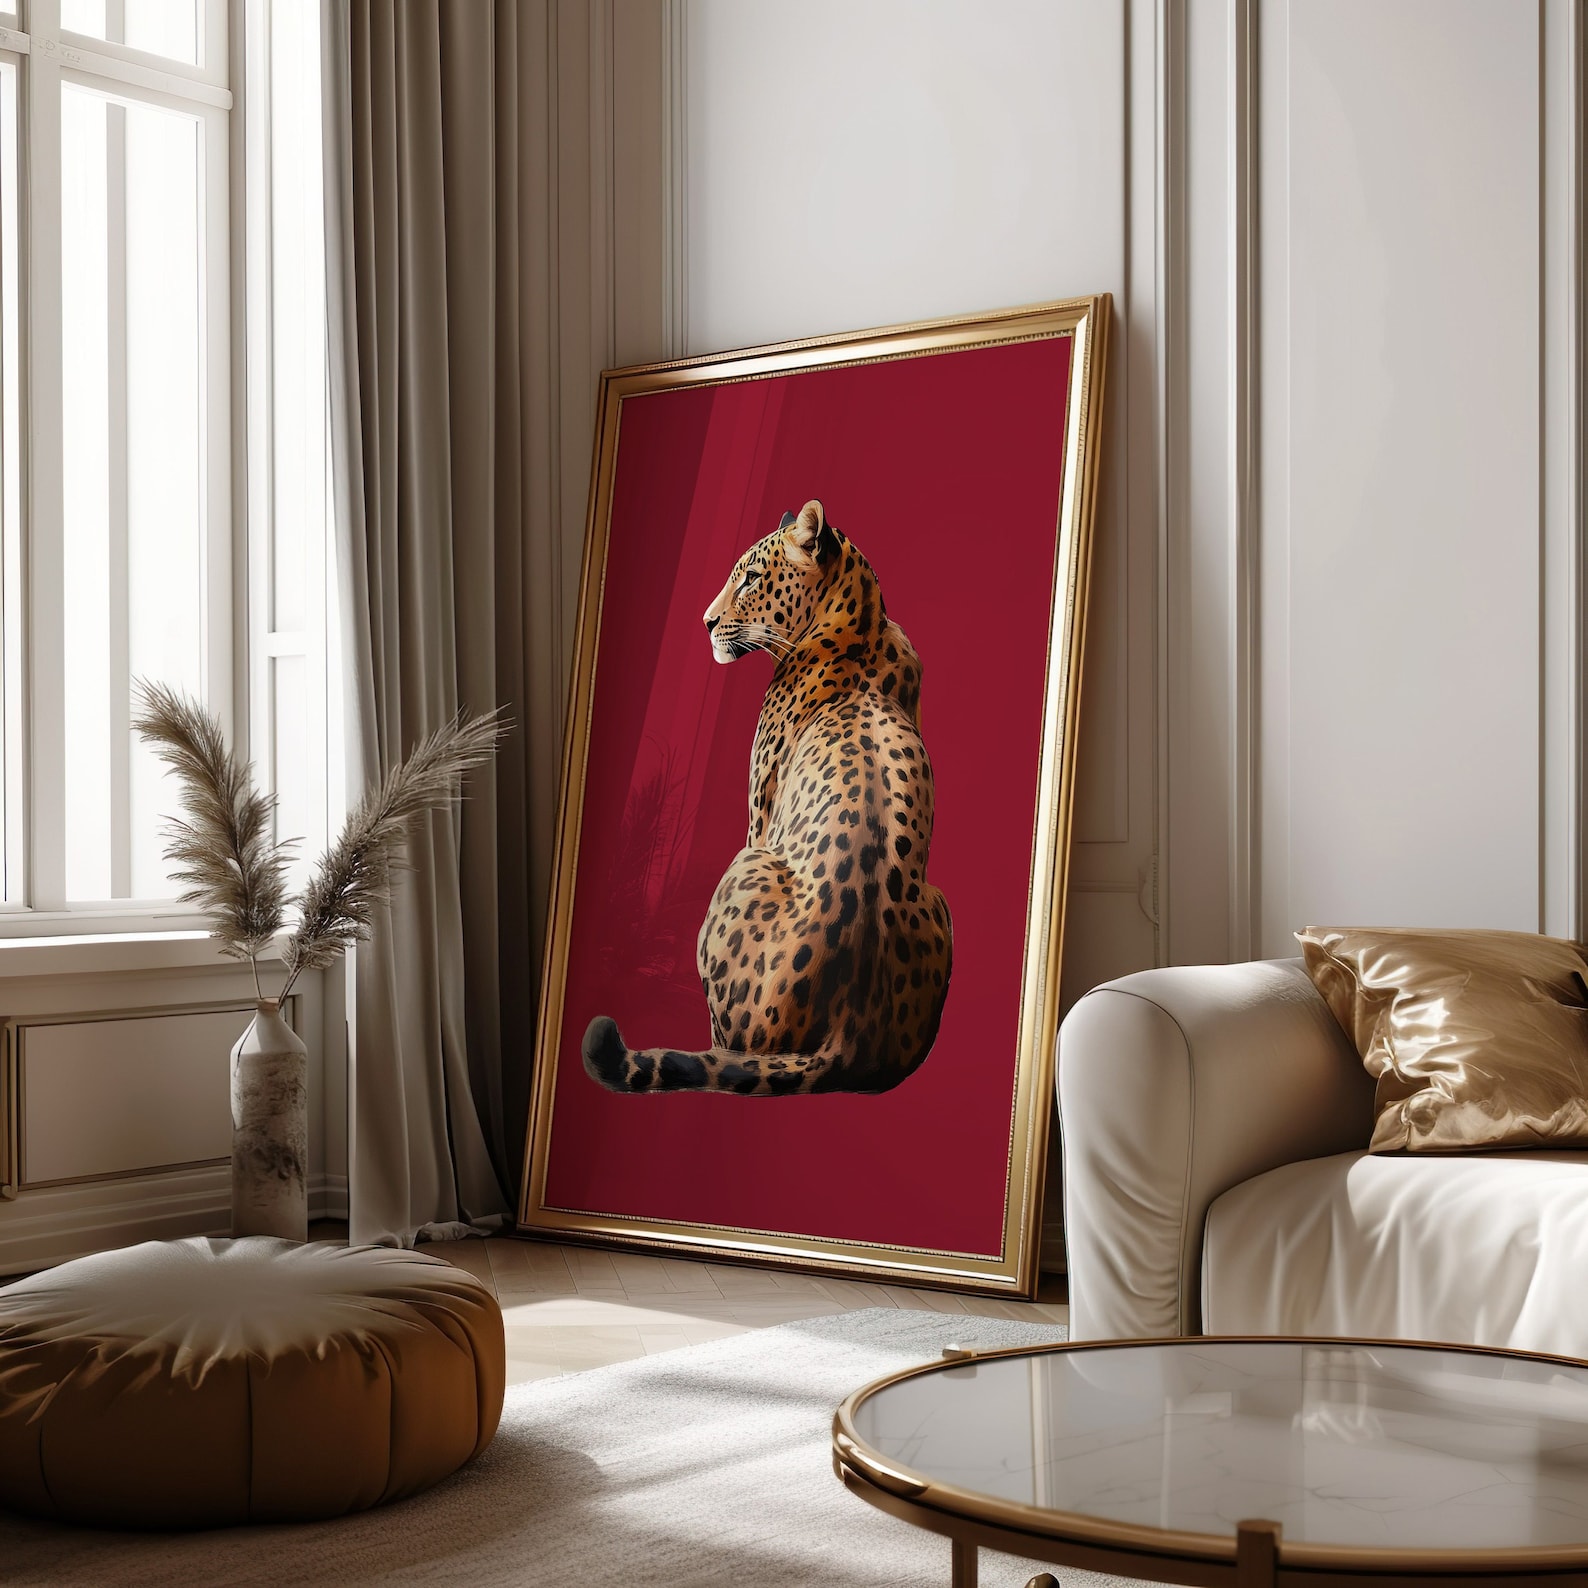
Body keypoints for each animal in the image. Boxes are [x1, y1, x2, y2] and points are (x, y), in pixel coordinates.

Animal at [582, 498, 953, 1096]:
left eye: (752, 577)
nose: (706, 621)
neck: (864, 619)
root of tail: (849, 1038)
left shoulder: (760, 811)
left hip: (745, 864)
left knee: (728, 1043)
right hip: (939, 902)